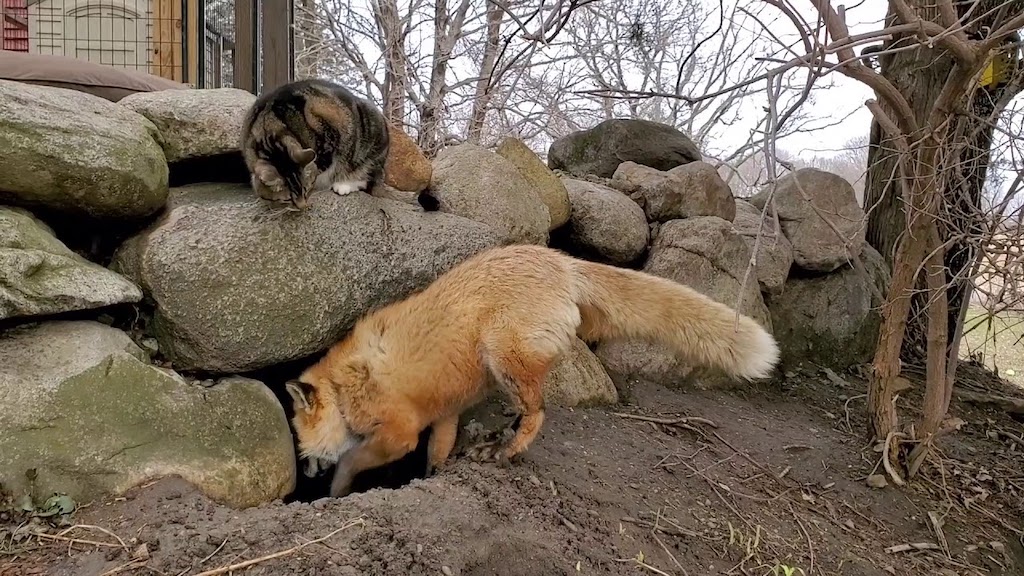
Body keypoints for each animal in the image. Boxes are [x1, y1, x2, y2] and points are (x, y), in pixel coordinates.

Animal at [285, 244, 780, 498]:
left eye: (300, 438)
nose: (303, 475)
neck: (348, 388)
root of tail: (559, 258)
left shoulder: (400, 431)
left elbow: (352, 459)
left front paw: (337, 491)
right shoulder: (444, 415)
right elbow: (436, 458)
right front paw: (432, 482)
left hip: (505, 357)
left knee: (539, 414)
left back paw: (508, 450)